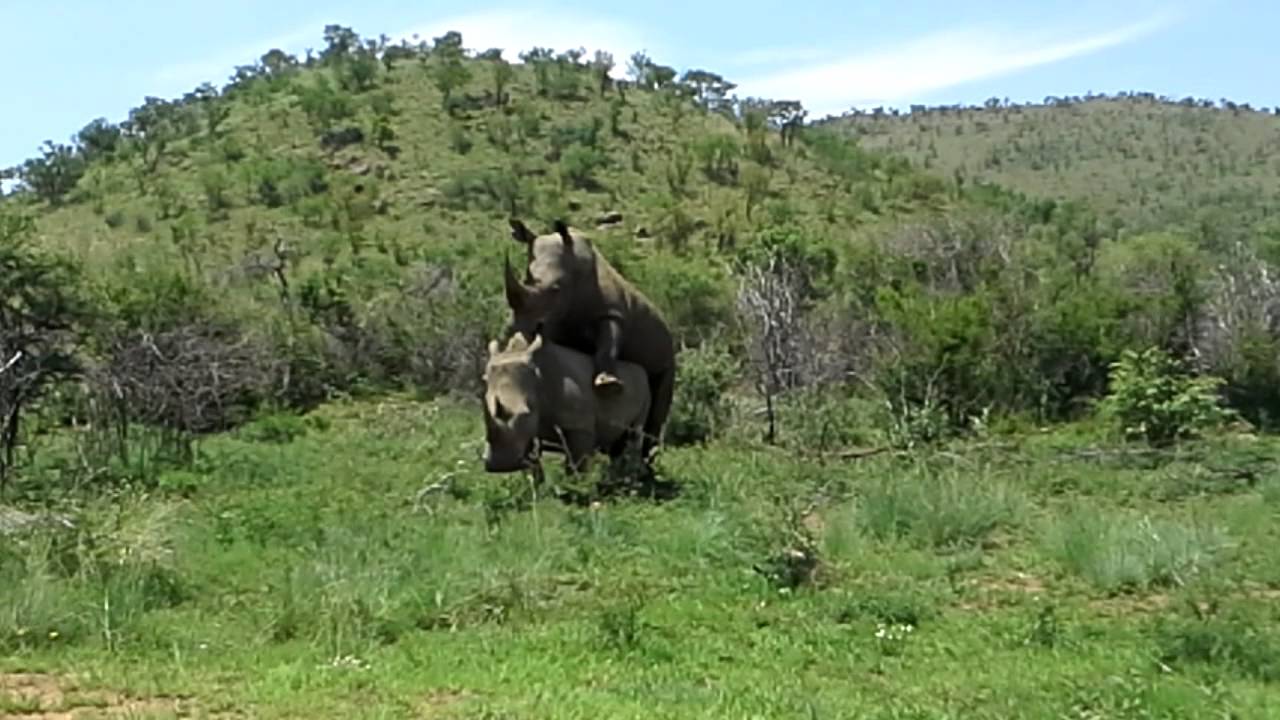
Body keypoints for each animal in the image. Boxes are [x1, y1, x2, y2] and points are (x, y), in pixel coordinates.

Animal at [480, 327, 651, 479]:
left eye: (527, 410)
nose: (500, 466)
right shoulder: (526, 429)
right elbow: (532, 464)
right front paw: (537, 488)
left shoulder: (578, 425)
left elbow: (576, 465)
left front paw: (576, 487)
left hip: (644, 384)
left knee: (634, 434)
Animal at [503, 218, 676, 460]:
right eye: (525, 278)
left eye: (556, 288)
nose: (520, 327)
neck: (576, 268)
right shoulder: (557, 323)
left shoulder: (612, 312)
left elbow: (608, 345)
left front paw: (607, 384)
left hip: (668, 353)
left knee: (657, 409)